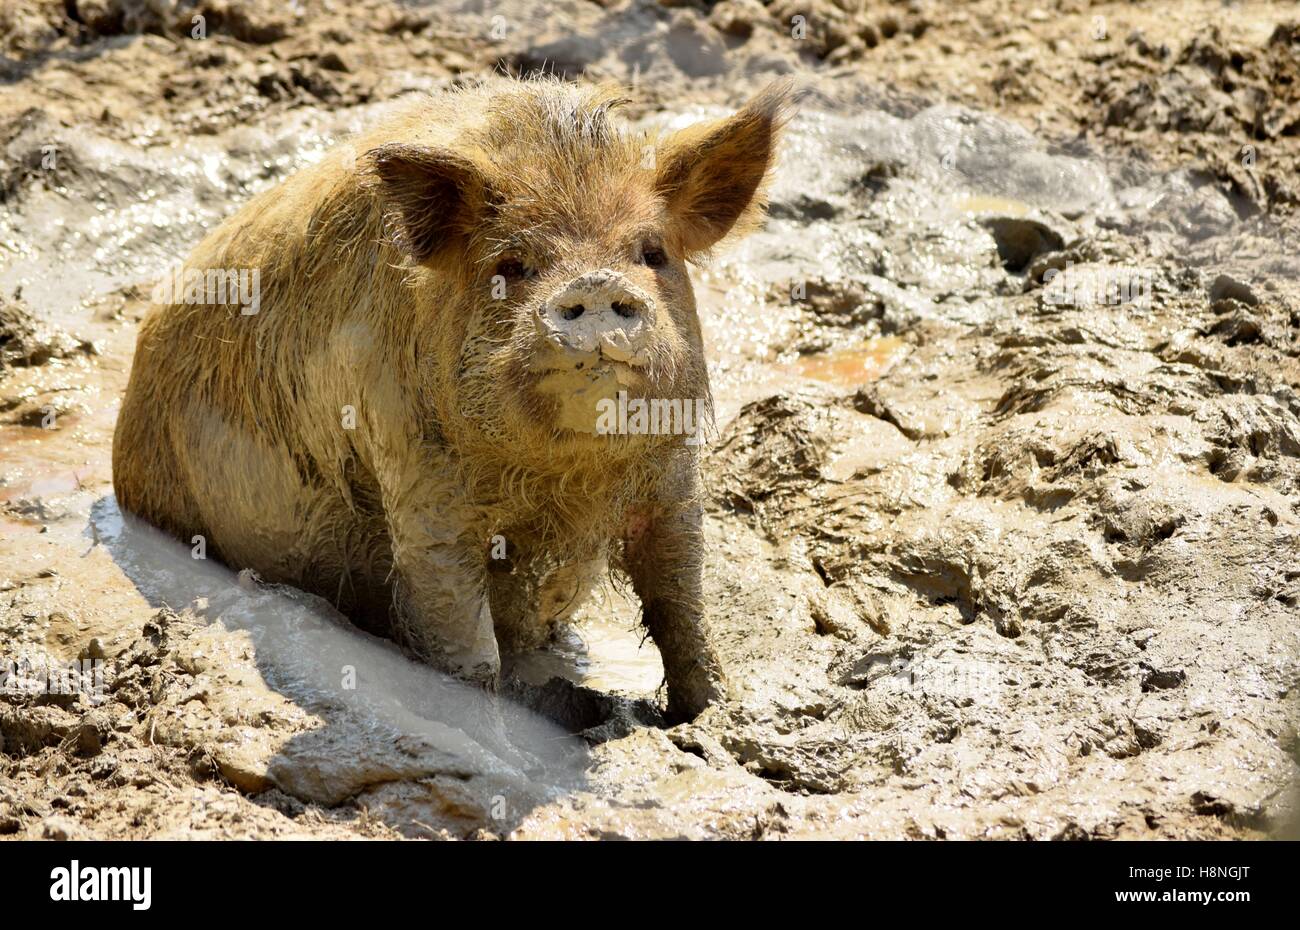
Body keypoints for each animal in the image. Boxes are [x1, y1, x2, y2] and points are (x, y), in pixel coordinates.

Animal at [112, 77, 789, 721]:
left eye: (651, 253)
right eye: (512, 264)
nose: (594, 284)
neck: (562, 482)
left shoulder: (673, 472)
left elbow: (682, 599)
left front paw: (714, 716)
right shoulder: (414, 469)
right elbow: (463, 641)